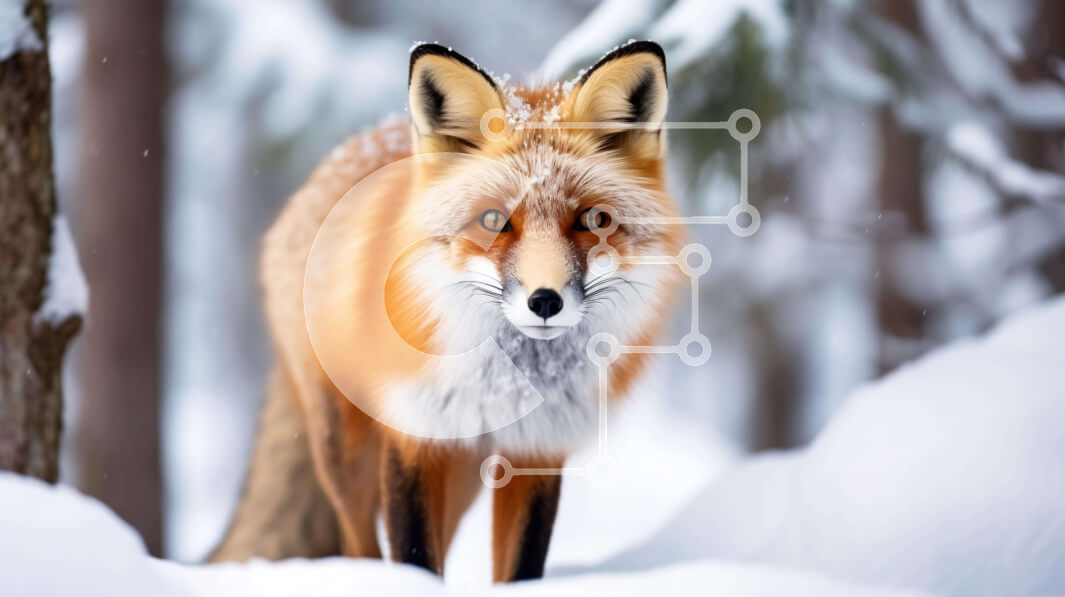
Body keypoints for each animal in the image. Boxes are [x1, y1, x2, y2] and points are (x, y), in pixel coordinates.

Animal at [210, 41, 685, 582]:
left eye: (594, 220)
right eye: (493, 220)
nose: (545, 301)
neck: (503, 384)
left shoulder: (535, 449)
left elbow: (520, 566)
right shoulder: (413, 437)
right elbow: (416, 556)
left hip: (463, 475)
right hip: (344, 453)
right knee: (359, 544)